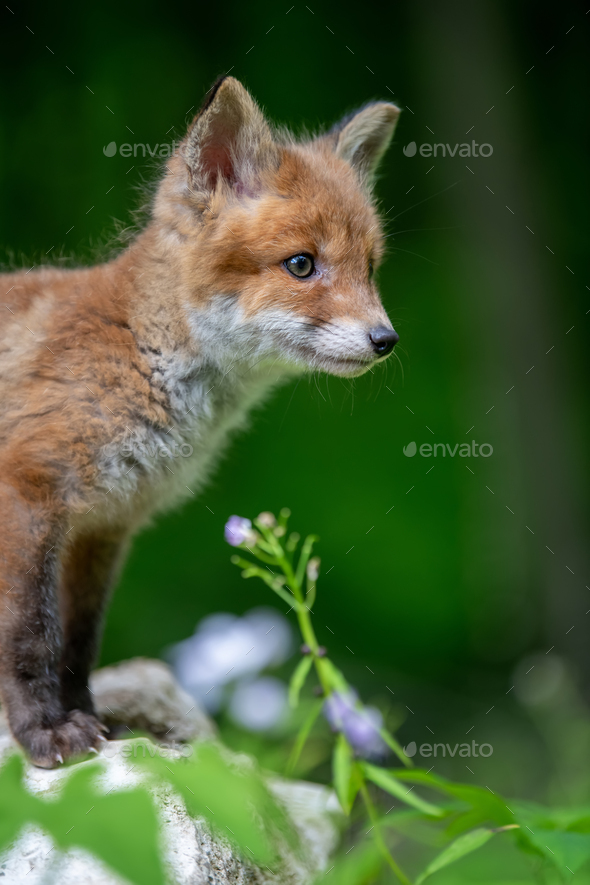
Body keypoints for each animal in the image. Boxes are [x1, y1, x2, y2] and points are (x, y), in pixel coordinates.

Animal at [0, 76, 400, 767]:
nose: (386, 340)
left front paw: (96, 722)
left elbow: (78, 643)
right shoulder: (29, 495)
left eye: (369, 268)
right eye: (302, 264)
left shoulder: (104, 526)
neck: (138, 353)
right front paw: (44, 732)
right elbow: (31, 636)